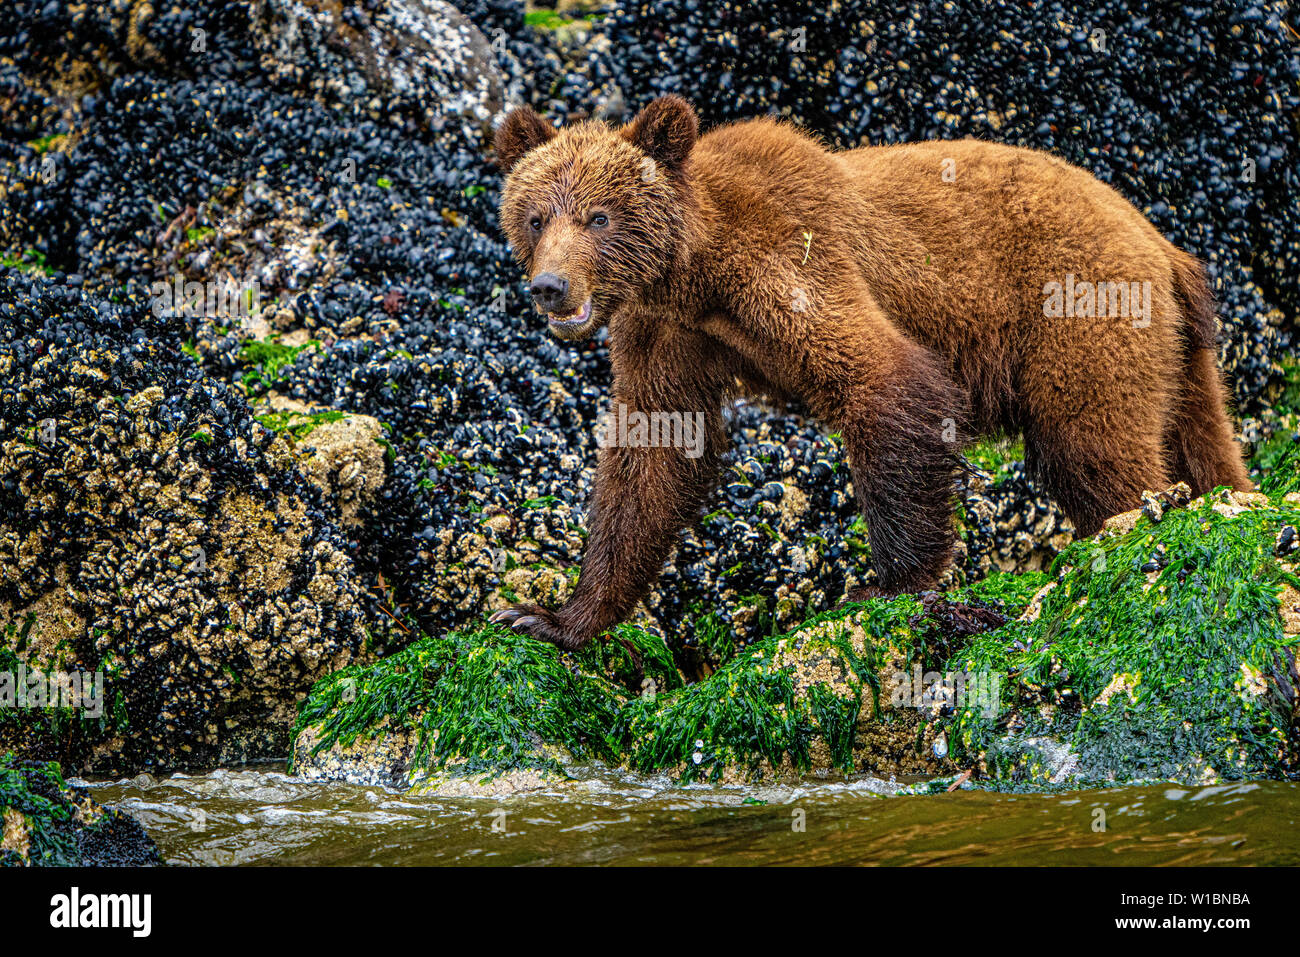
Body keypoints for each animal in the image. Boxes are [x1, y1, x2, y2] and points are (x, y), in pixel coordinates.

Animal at [488, 95, 1252, 651]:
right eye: (535, 216)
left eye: (599, 215)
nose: (551, 286)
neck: (693, 272)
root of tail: (1160, 240)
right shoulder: (667, 334)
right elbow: (652, 455)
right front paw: (552, 615)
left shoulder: (787, 257)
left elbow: (888, 380)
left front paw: (890, 584)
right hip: (1181, 355)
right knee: (1199, 438)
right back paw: (1221, 497)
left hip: (1082, 312)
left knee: (1094, 443)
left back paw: (1141, 520)